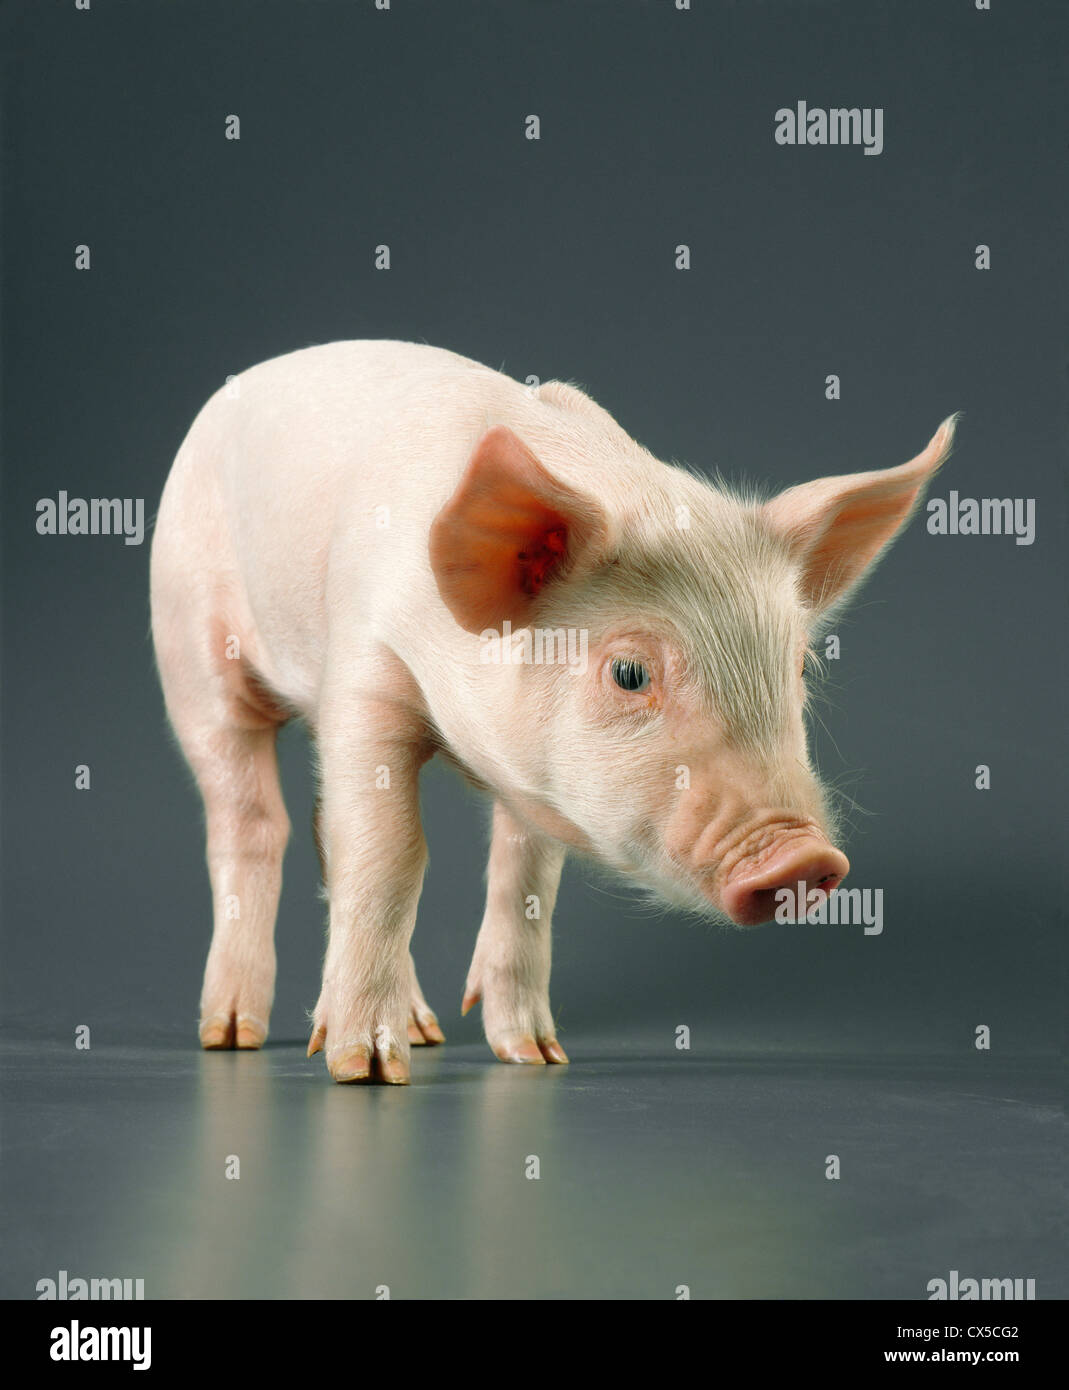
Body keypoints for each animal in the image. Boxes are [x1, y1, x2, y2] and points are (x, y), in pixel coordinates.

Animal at [150, 340, 957, 1083]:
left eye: (797, 667)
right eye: (629, 673)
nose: (804, 856)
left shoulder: (534, 780)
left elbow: (525, 878)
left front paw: (536, 1059)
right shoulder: (363, 671)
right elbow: (392, 853)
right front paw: (366, 1070)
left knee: (324, 828)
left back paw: (425, 1031)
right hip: (189, 645)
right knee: (251, 820)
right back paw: (232, 1036)